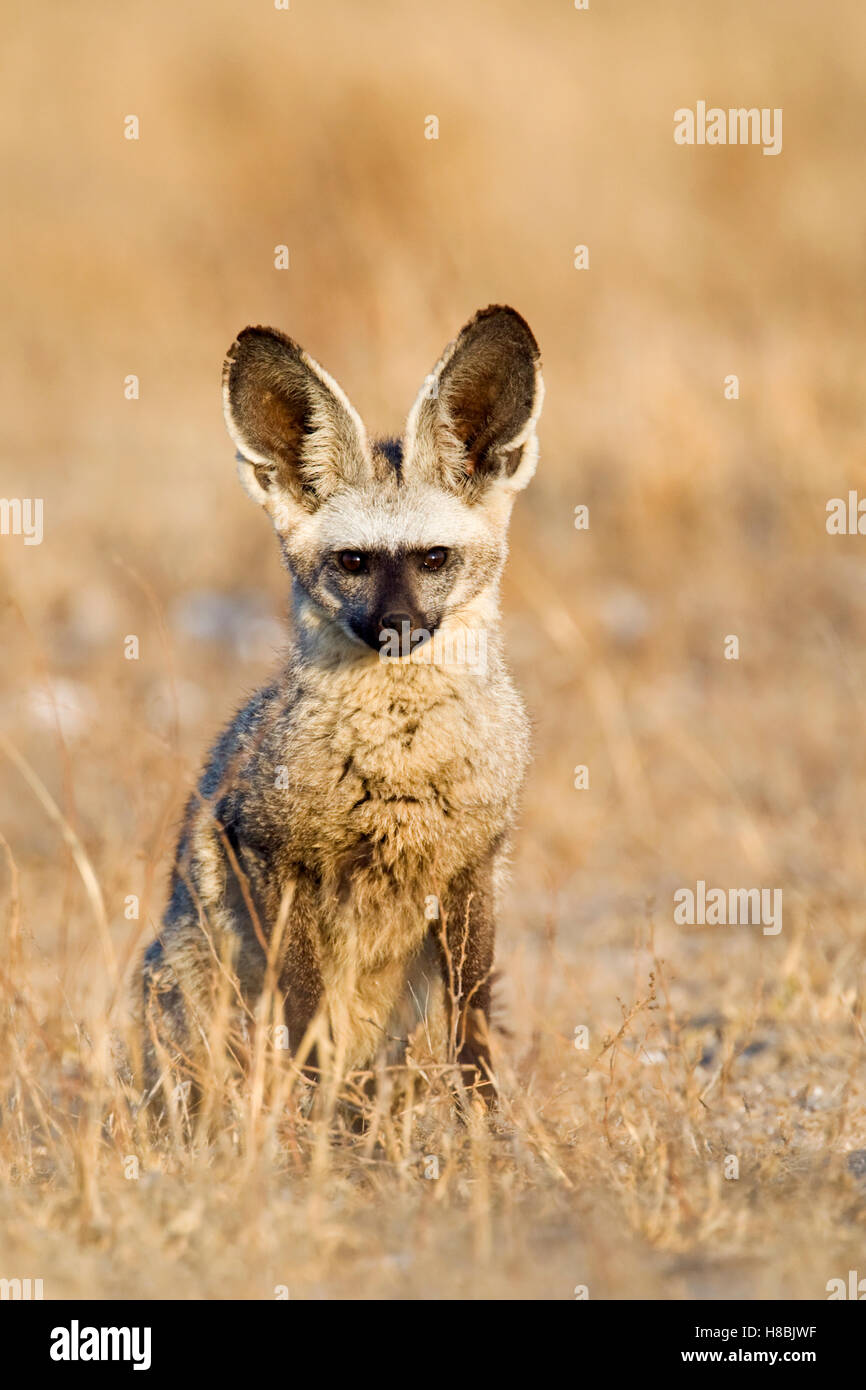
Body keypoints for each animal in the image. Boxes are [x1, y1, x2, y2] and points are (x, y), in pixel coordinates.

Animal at [136, 304, 543, 1115]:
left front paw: (487, 1132)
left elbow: (475, 1032)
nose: (396, 627)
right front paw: (323, 1135)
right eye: (354, 562)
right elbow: (309, 1030)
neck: (401, 767)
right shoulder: (273, 860)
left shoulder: (472, 869)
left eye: (433, 559)